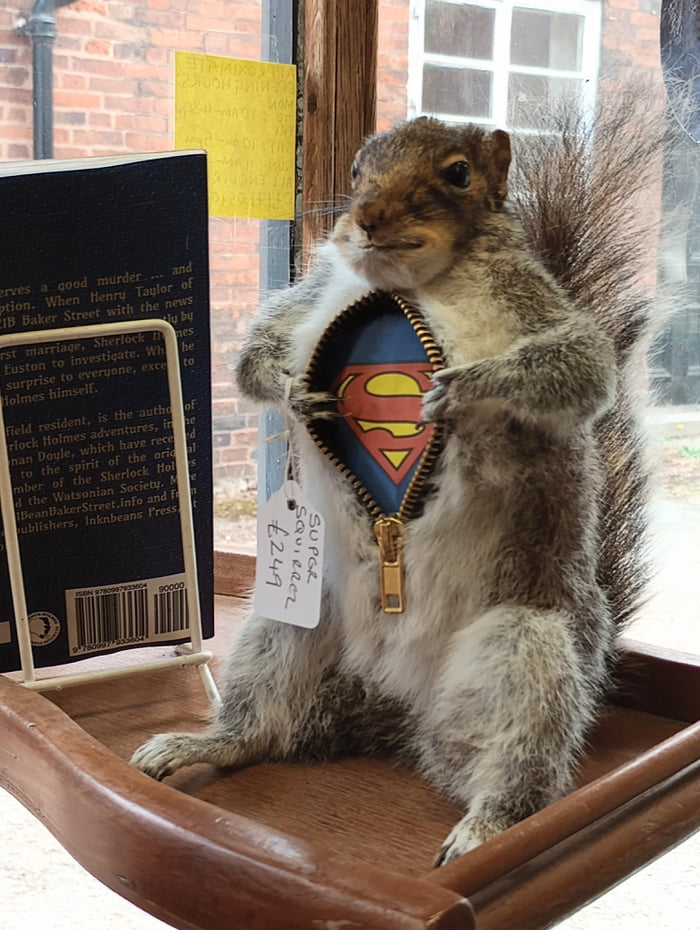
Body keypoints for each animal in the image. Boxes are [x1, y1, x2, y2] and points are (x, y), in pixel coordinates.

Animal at [132, 85, 671, 865]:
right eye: (358, 170)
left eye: (458, 174)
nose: (368, 217)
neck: (409, 284)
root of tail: (393, 696)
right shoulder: (308, 298)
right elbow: (254, 355)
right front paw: (295, 391)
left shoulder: (538, 309)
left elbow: (576, 368)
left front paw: (470, 386)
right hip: (289, 620)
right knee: (265, 729)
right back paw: (202, 744)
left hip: (522, 650)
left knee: (514, 763)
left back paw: (486, 826)